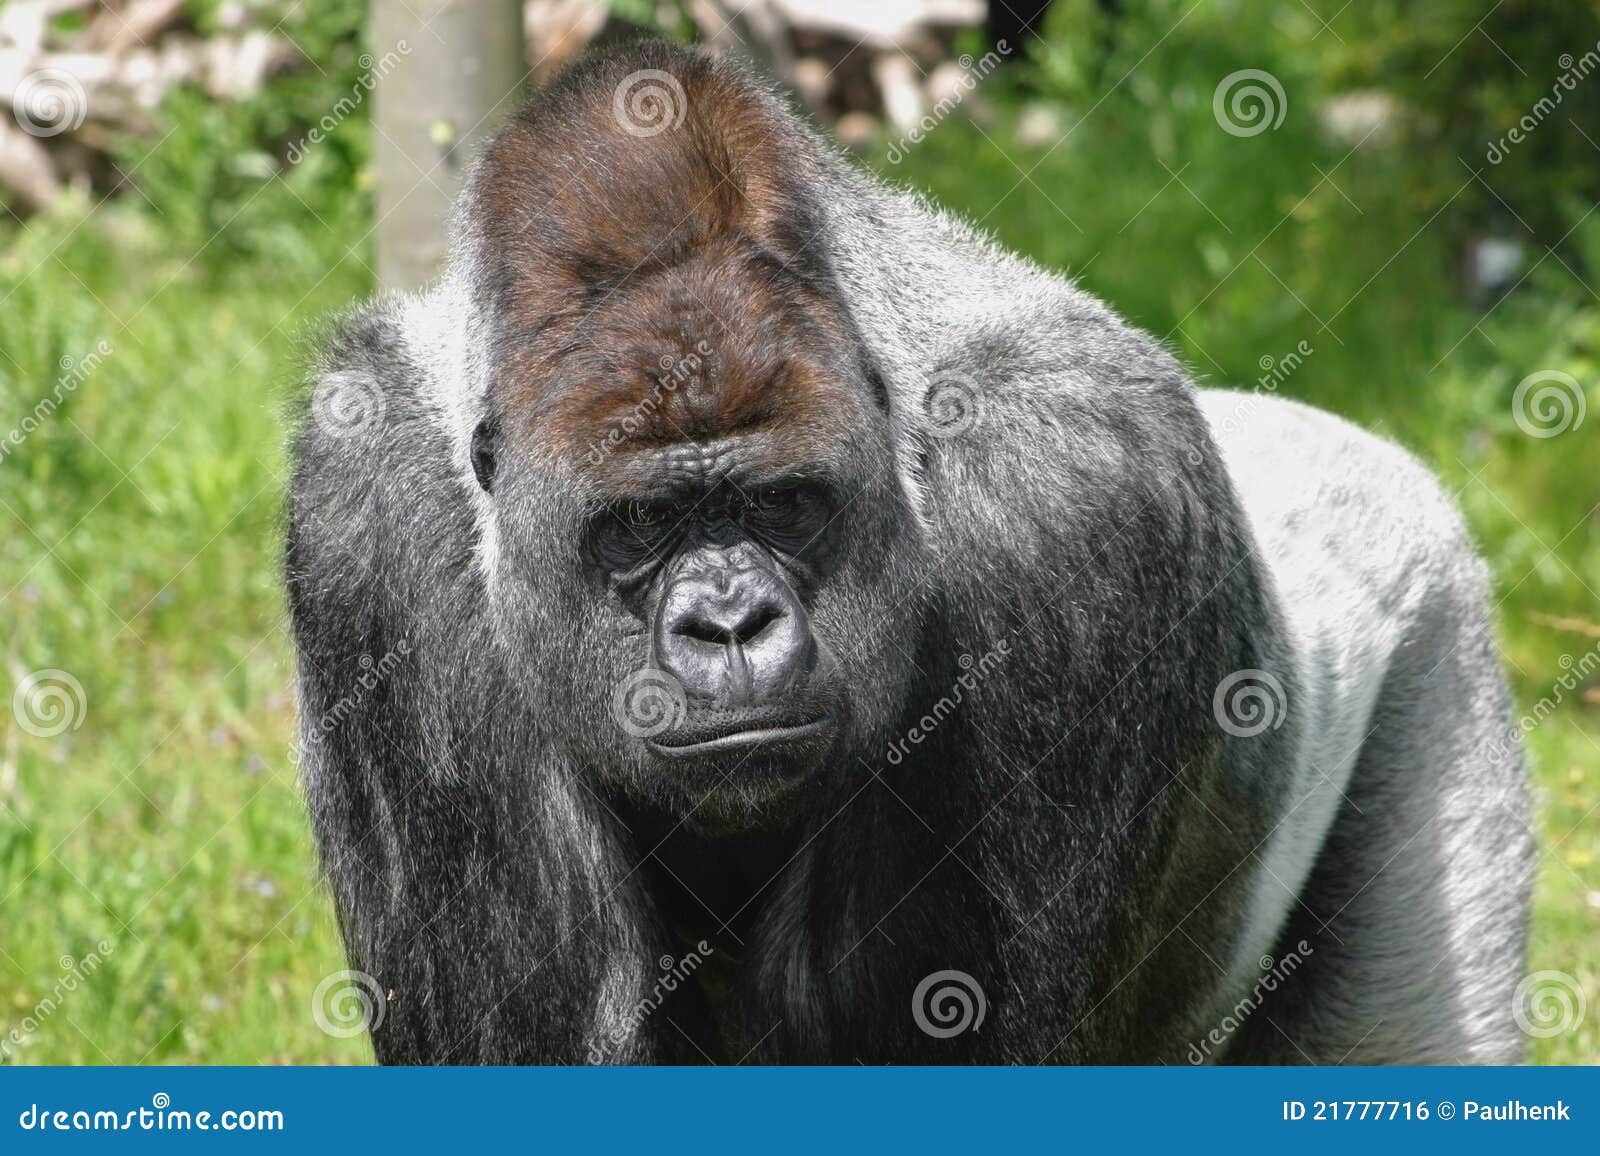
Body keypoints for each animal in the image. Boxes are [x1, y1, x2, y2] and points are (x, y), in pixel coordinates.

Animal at [285, 41, 1532, 1064]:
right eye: (641, 525)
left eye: (782, 503)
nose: (728, 624)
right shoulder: (365, 517)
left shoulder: (1067, 487)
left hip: (1440, 626)